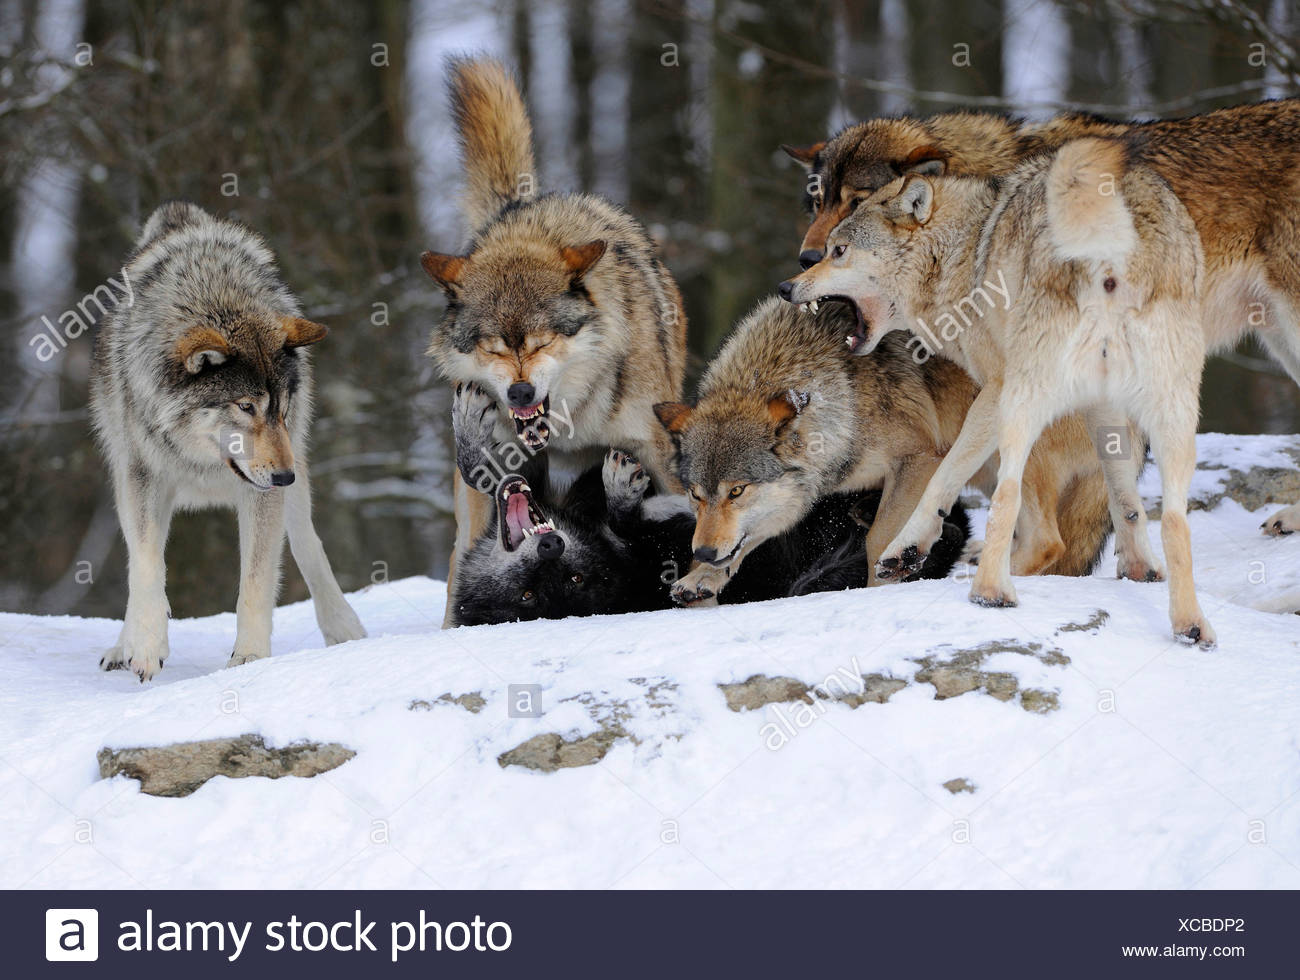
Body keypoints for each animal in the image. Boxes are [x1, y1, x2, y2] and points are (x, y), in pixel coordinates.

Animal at [89, 201, 366, 681]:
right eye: (246, 406)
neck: (216, 296)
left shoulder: (264, 489)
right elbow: (146, 565)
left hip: (295, 470)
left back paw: (343, 626)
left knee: (309, 545)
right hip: (129, 477)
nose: (284, 477)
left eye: (281, 407)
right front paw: (145, 646)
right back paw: (124, 645)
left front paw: (250, 658)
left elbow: (255, 582)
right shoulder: (143, 477)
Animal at [446, 384, 962, 626]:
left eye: (572, 579)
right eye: (528, 596)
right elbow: (633, 522)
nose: (550, 547)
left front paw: (470, 419)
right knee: (949, 533)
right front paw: (623, 490)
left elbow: (488, 471)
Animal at [649, 296, 1098, 607]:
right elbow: (754, 537)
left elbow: (879, 540)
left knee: (1047, 542)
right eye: (696, 495)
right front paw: (703, 577)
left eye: (737, 491)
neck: (844, 394)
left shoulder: (919, 460)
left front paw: (877, 589)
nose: (703, 551)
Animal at [779, 138, 1214, 645]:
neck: (961, 254)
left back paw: (989, 590)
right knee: (1175, 519)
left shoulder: (994, 387)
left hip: (1025, 402)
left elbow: (946, 475)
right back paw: (1191, 625)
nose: (786, 286)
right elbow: (1126, 501)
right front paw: (1141, 571)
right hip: (1174, 413)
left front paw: (906, 550)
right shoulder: (1101, 400)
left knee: (1012, 503)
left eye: (840, 250)